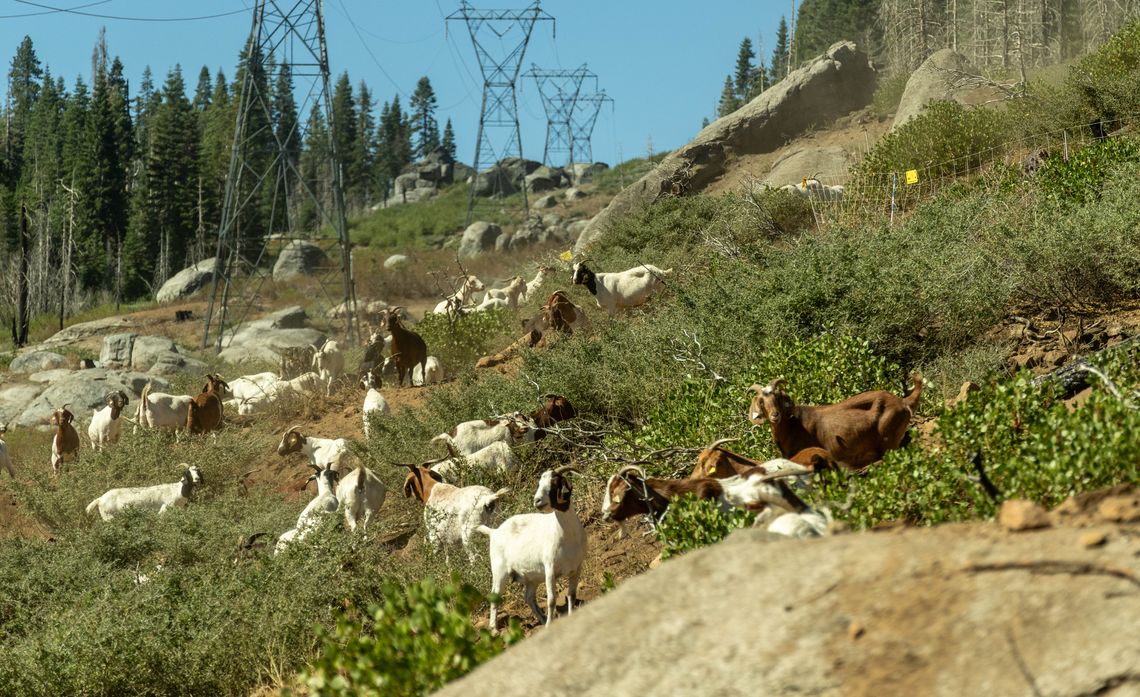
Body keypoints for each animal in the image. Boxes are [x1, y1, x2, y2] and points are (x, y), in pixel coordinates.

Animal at [476, 465, 586, 632]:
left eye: (554, 483)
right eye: (539, 484)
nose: (537, 501)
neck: (568, 536)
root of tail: (494, 532)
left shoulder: (576, 568)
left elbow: (571, 596)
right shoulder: (550, 569)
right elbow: (551, 600)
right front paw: (549, 625)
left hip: (531, 577)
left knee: (528, 597)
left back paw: (541, 619)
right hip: (500, 571)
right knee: (495, 596)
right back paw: (494, 629)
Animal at [749, 375, 923, 469]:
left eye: (778, 396)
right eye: (762, 402)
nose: (775, 415)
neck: (792, 426)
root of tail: (903, 402)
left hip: (889, 443)